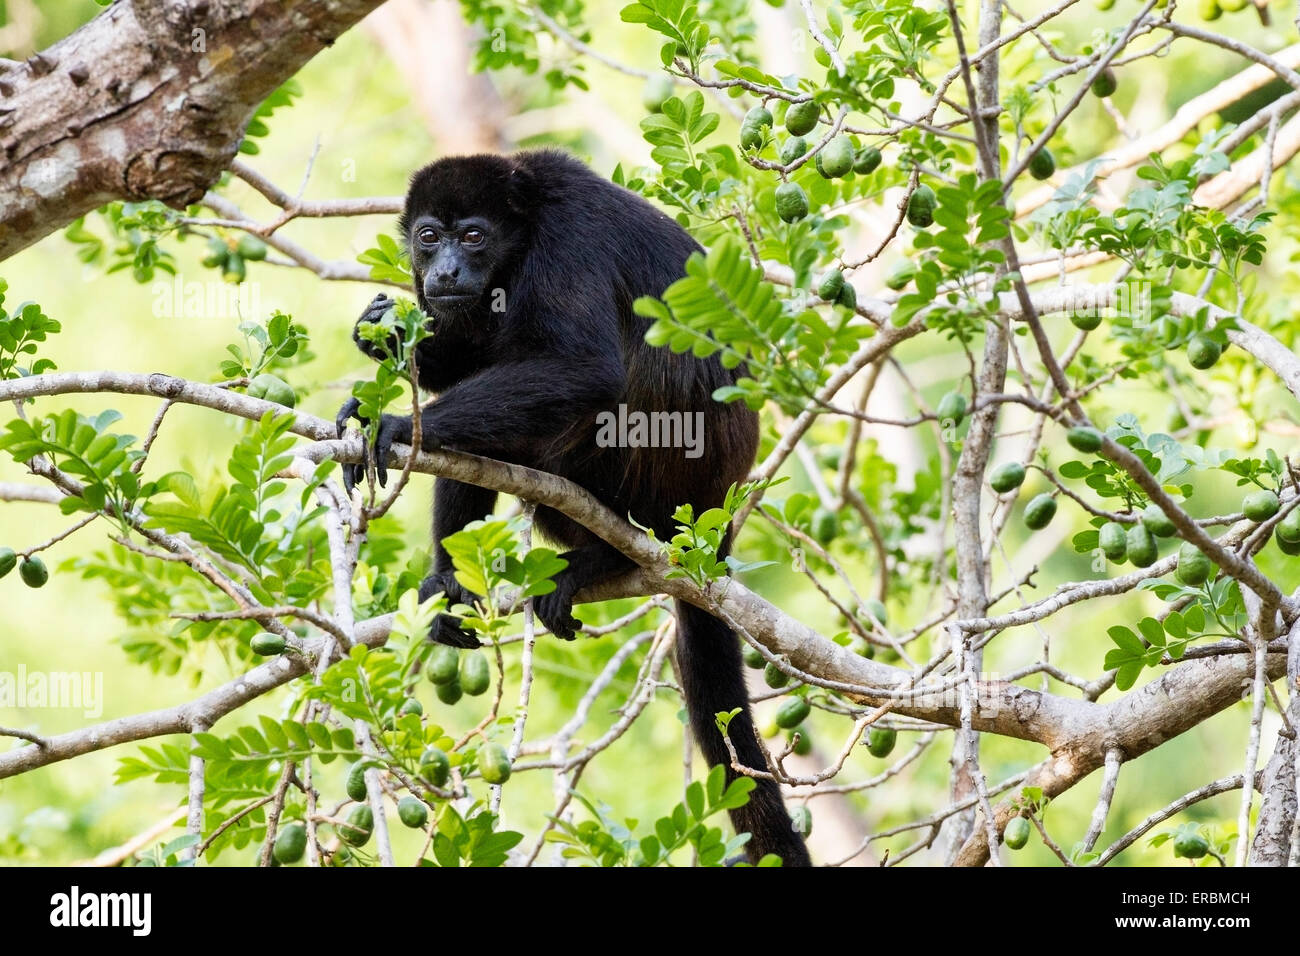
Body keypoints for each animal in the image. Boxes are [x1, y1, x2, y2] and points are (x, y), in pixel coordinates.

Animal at [337, 149, 811, 867]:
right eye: (427, 236)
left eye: (472, 236)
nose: (443, 272)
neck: (522, 228)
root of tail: (711, 524)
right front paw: (381, 339)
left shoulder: (569, 239)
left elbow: (584, 368)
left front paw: (387, 421)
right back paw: (452, 585)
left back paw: (600, 558)